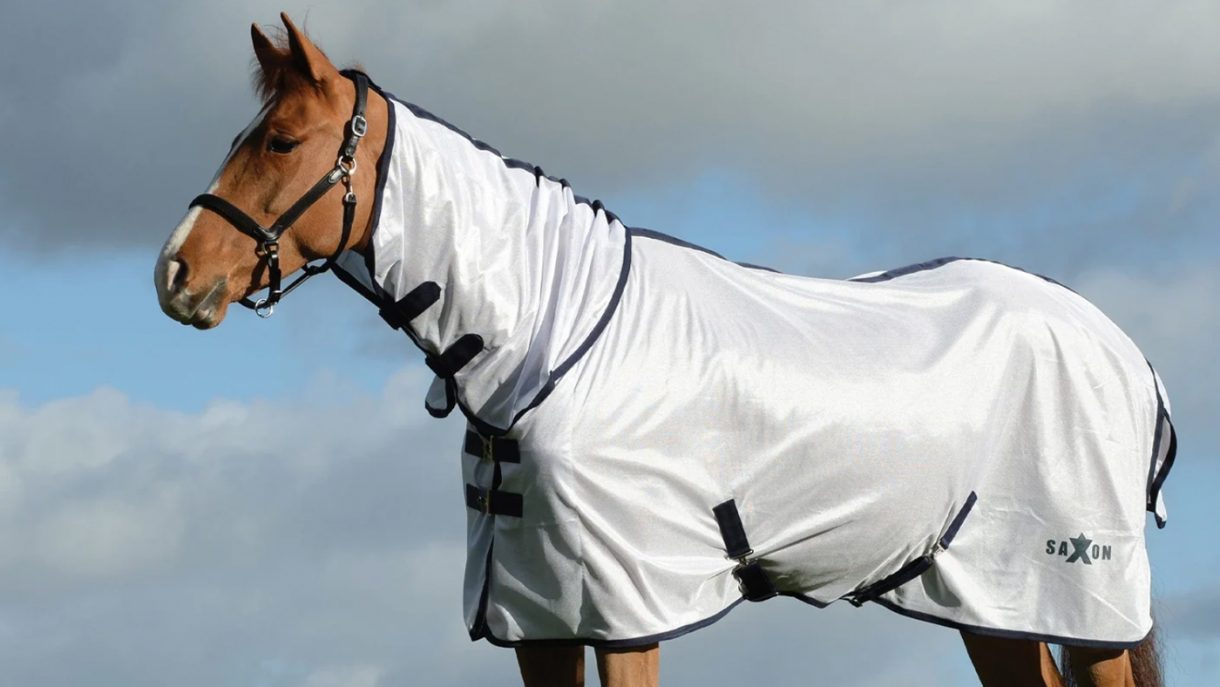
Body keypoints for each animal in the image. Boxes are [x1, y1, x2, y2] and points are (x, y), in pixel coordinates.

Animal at [154, 14, 1175, 687]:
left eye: (281, 141)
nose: (176, 273)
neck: (551, 340)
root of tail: (1127, 353)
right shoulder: (537, 618)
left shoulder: (622, 606)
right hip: (986, 598)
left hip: (1079, 599)